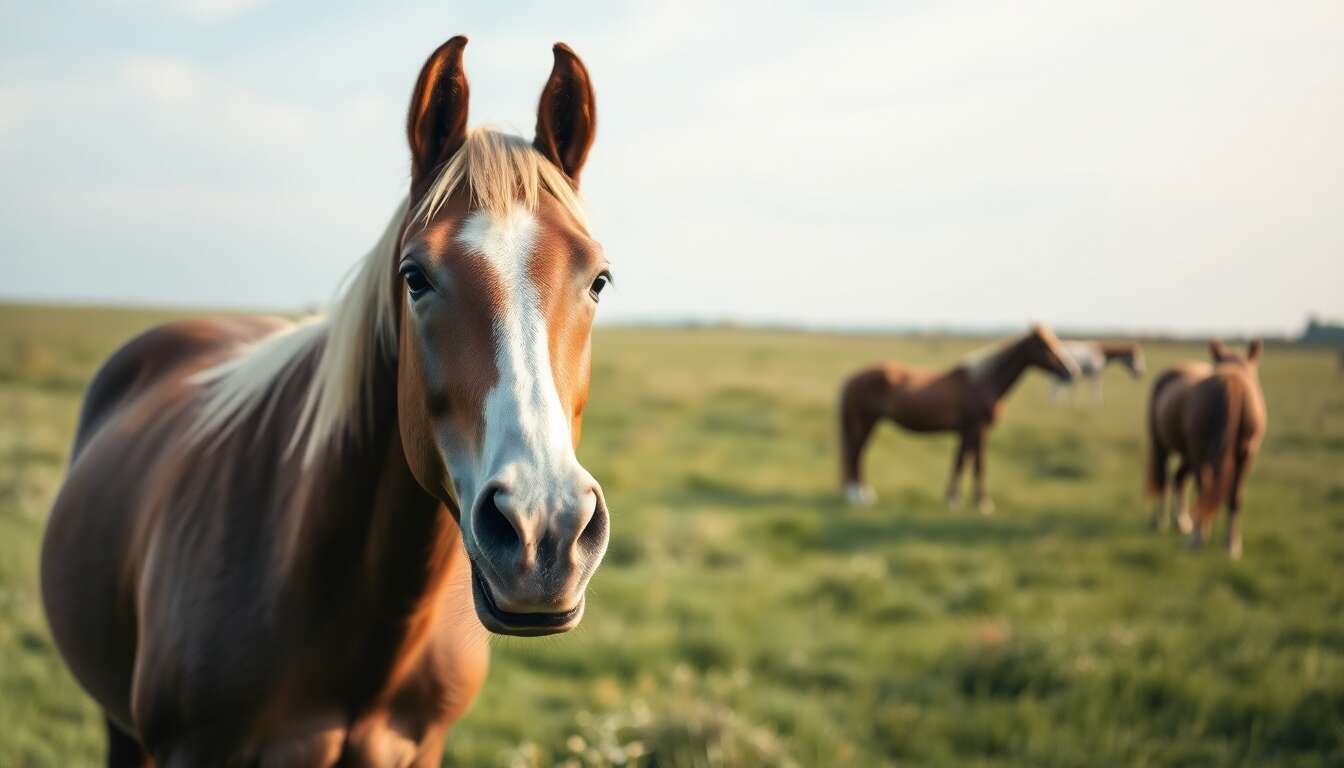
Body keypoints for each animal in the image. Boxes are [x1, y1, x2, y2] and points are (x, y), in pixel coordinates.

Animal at [838, 324, 1079, 511]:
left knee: (859, 454)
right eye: (1046, 345)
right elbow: (976, 464)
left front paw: (956, 498)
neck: (983, 382)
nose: (1072, 371)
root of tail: (852, 378)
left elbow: (963, 461)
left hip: (871, 423)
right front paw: (977, 503)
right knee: (855, 453)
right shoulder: (977, 428)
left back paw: (865, 493)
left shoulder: (967, 431)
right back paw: (856, 497)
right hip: (866, 421)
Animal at [1146, 340, 1267, 558]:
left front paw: (1231, 544)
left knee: (1178, 478)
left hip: (1190, 454)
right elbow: (1207, 491)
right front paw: (1200, 536)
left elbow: (1233, 498)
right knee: (1163, 478)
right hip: (1164, 445)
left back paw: (1182, 522)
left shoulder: (1245, 456)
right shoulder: (1203, 454)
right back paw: (1162, 521)